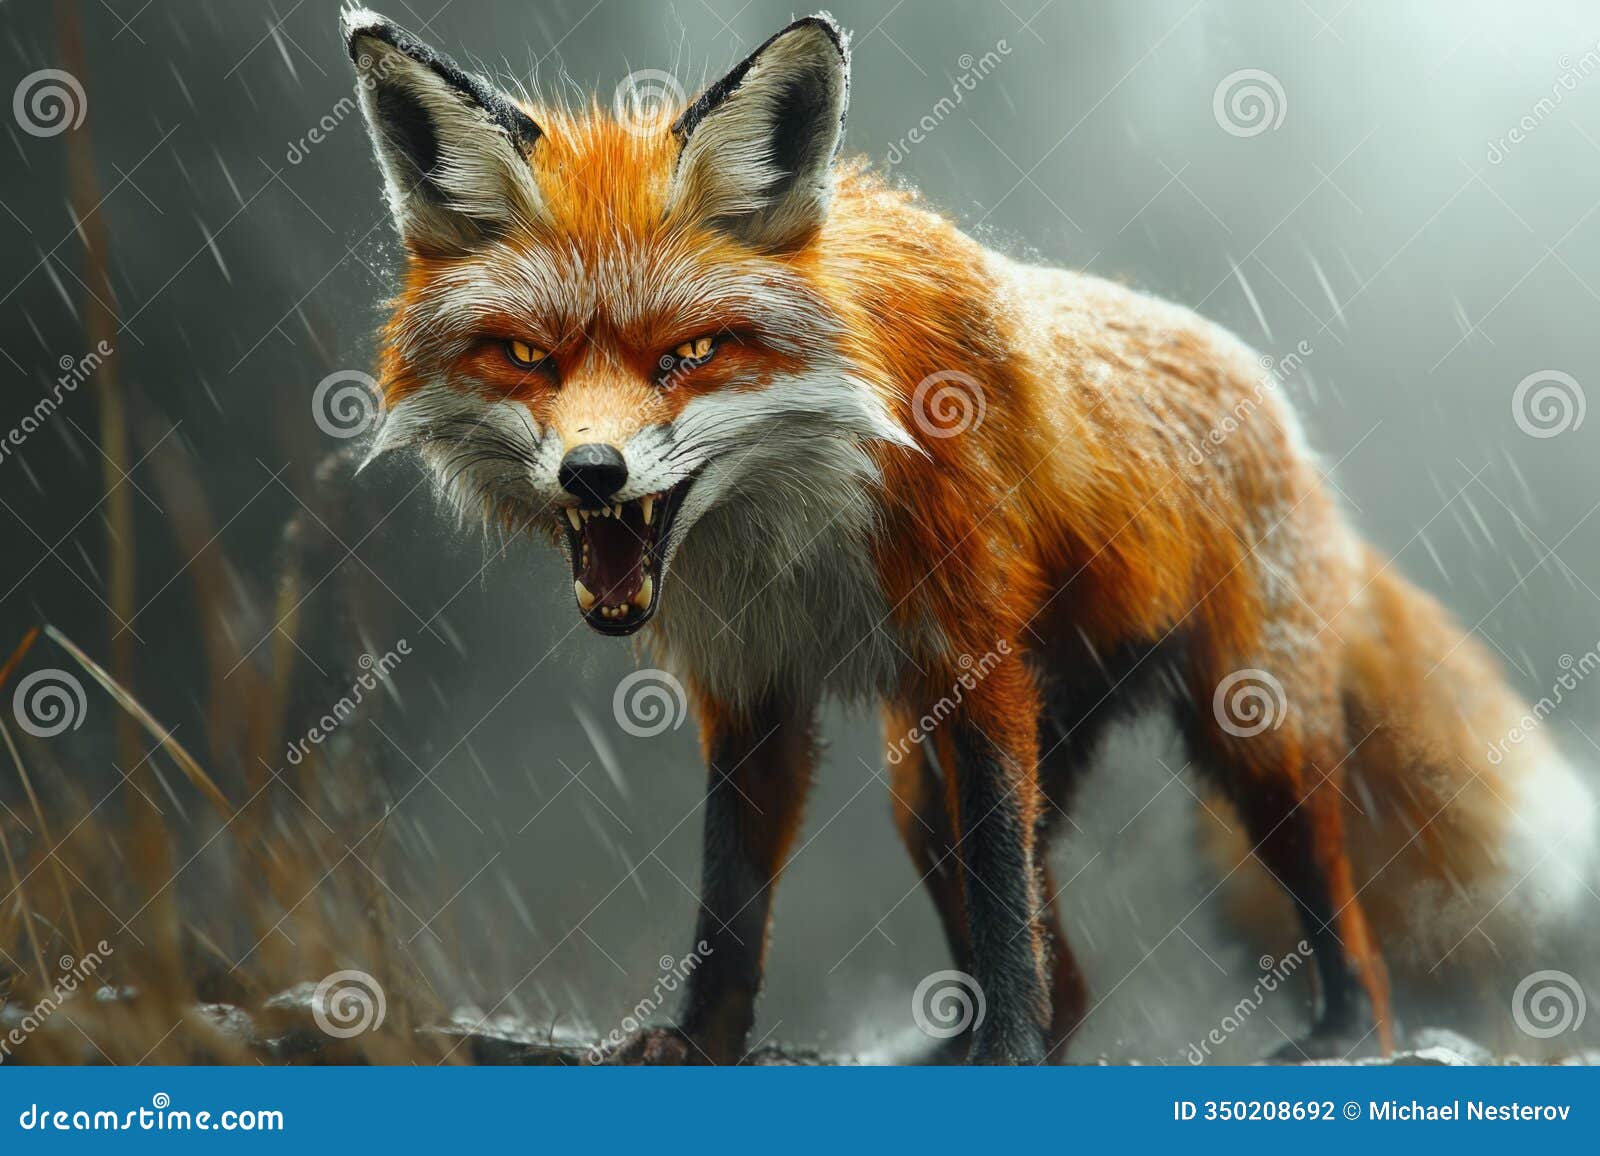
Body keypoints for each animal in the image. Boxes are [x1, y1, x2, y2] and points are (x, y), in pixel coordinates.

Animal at [342, 8, 1597, 1063]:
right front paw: (699, 1040)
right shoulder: (750, 683)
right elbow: (729, 899)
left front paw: (1007, 1056)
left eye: (690, 354)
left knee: (1344, 940)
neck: (804, 519)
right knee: (1073, 974)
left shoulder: (975, 657)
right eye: (528, 356)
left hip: (1247, 735)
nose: (590, 472)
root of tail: (1281, 413)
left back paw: (1337, 1035)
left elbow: (999, 894)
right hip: (924, 778)